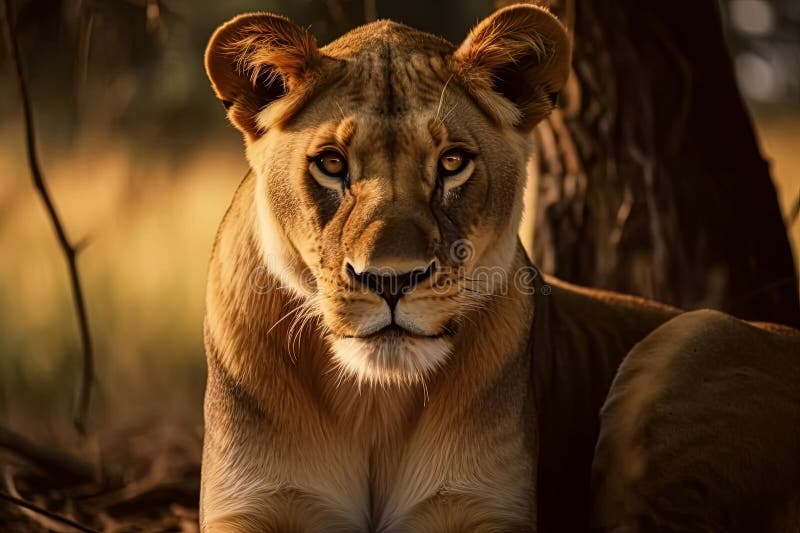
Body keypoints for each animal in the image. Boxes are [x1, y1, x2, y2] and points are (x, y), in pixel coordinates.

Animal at [200, 4, 800, 532]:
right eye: (331, 164)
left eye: (452, 162)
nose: (391, 280)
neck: (375, 404)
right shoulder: (254, 505)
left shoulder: (479, 507)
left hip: (694, 338)